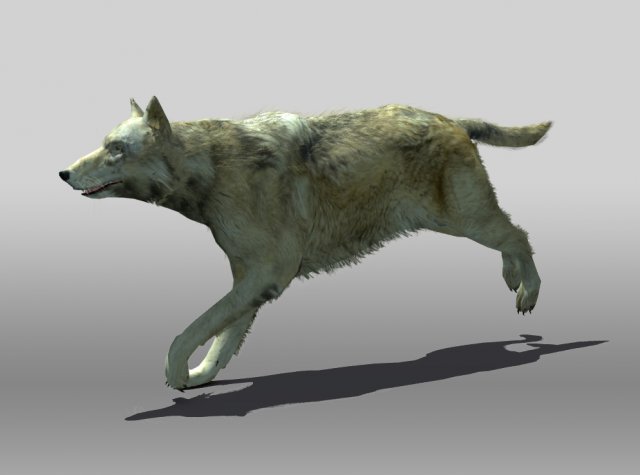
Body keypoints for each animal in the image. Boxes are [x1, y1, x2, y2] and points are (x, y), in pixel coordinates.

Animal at [60, 97, 551, 389]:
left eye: (116, 149)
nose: (62, 173)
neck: (211, 169)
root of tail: (452, 118)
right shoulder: (252, 281)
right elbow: (221, 340)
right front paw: (198, 377)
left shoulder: (264, 276)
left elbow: (189, 333)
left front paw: (178, 372)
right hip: (465, 221)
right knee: (512, 238)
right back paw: (512, 279)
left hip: (465, 221)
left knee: (520, 235)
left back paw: (527, 291)